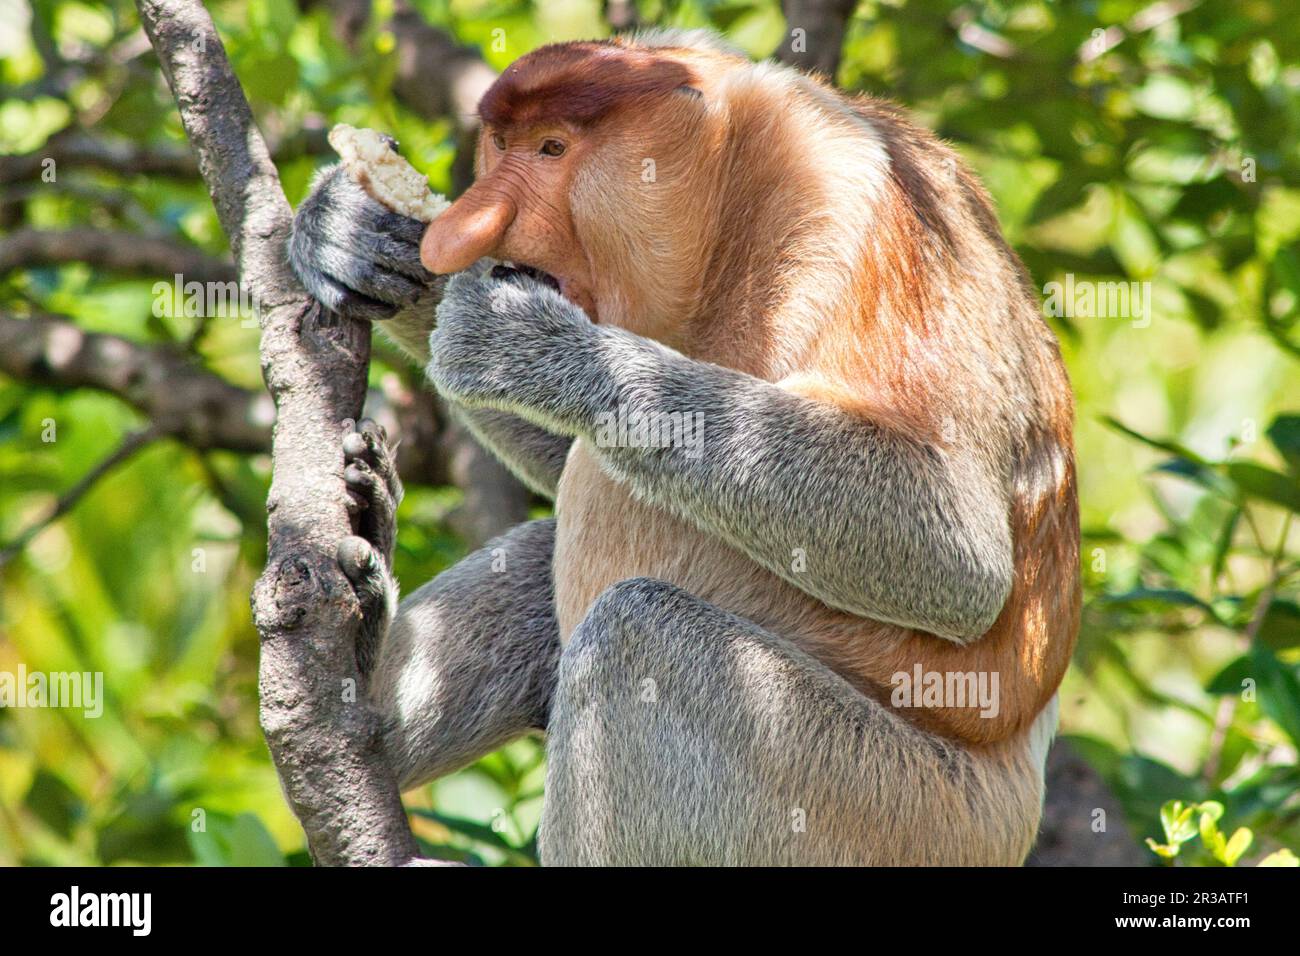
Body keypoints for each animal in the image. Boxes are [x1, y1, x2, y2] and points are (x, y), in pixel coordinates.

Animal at [287, 28, 1080, 865]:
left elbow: (956, 553)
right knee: (542, 554)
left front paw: (529, 344)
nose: (459, 232)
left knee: (636, 635)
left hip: (892, 807)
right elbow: (562, 461)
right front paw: (351, 231)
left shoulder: (853, 208)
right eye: (501, 145)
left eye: (551, 148)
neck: (734, 202)